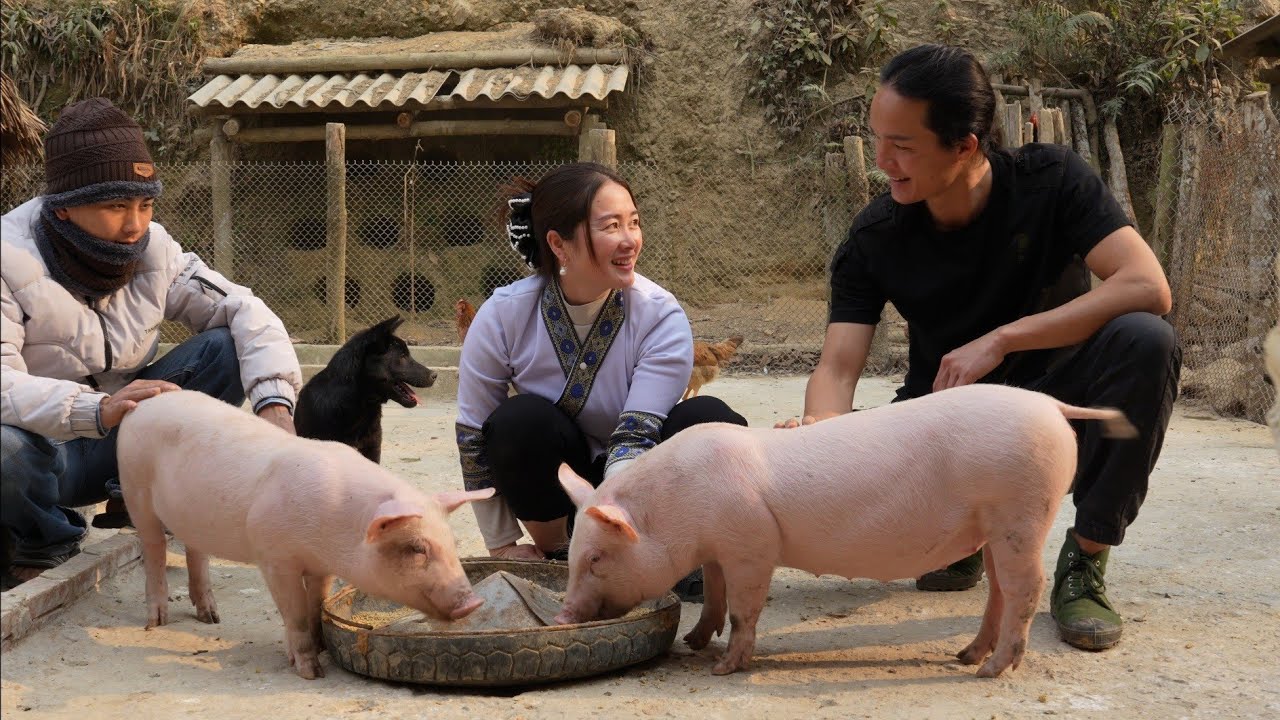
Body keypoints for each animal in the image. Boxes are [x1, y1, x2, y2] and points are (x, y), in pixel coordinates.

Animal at [115, 390, 494, 679]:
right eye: (416, 548)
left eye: (453, 544)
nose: (473, 602)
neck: (336, 527)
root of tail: (143, 405)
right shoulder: (274, 557)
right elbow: (294, 614)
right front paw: (311, 673)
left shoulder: (321, 566)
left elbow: (316, 606)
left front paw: (323, 646)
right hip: (135, 488)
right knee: (153, 548)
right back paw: (156, 622)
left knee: (195, 550)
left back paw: (211, 618)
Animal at [552, 384, 1136, 678]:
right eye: (576, 554)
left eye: (597, 559)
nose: (562, 616)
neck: (680, 506)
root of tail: (1051, 405)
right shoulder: (718, 549)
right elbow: (714, 596)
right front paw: (695, 643)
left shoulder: (752, 545)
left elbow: (743, 609)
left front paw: (724, 669)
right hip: (994, 524)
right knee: (999, 590)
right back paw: (966, 656)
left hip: (1021, 512)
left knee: (1025, 589)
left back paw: (989, 671)